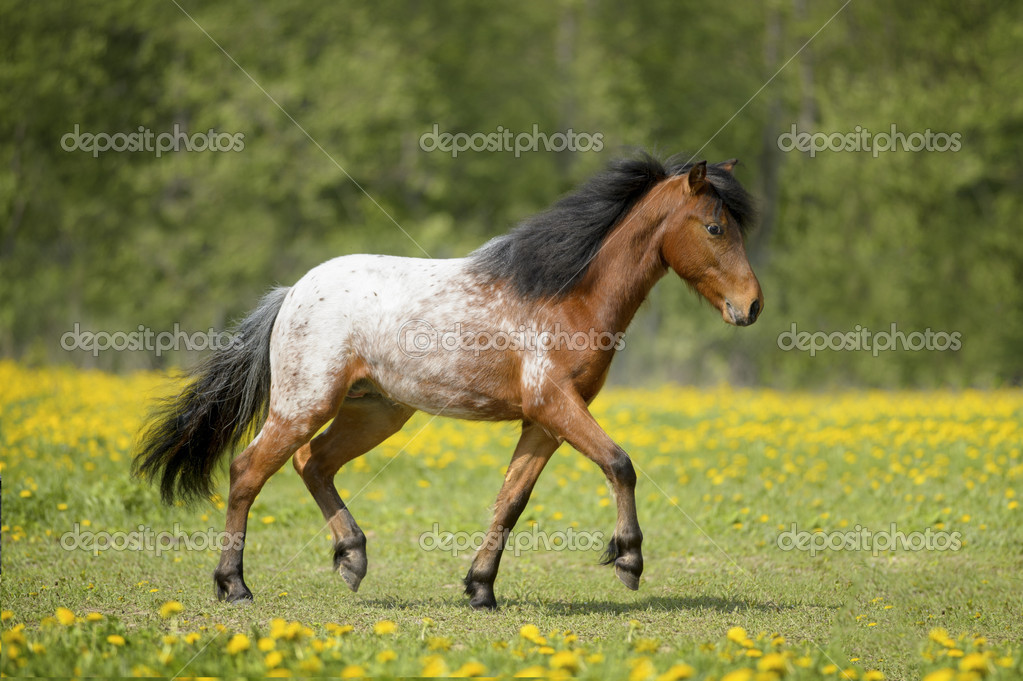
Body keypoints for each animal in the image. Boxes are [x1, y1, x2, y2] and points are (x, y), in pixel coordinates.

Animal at [133, 153, 763, 610]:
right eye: (714, 227)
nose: (752, 306)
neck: (566, 295)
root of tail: (292, 293)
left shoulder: (545, 422)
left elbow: (511, 500)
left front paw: (480, 588)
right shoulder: (556, 404)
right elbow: (620, 463)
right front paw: (628, 561)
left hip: (375, 412)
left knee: (313, 463)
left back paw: (352, 558)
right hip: (304, 405)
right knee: (248, 471)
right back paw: (234, 585)